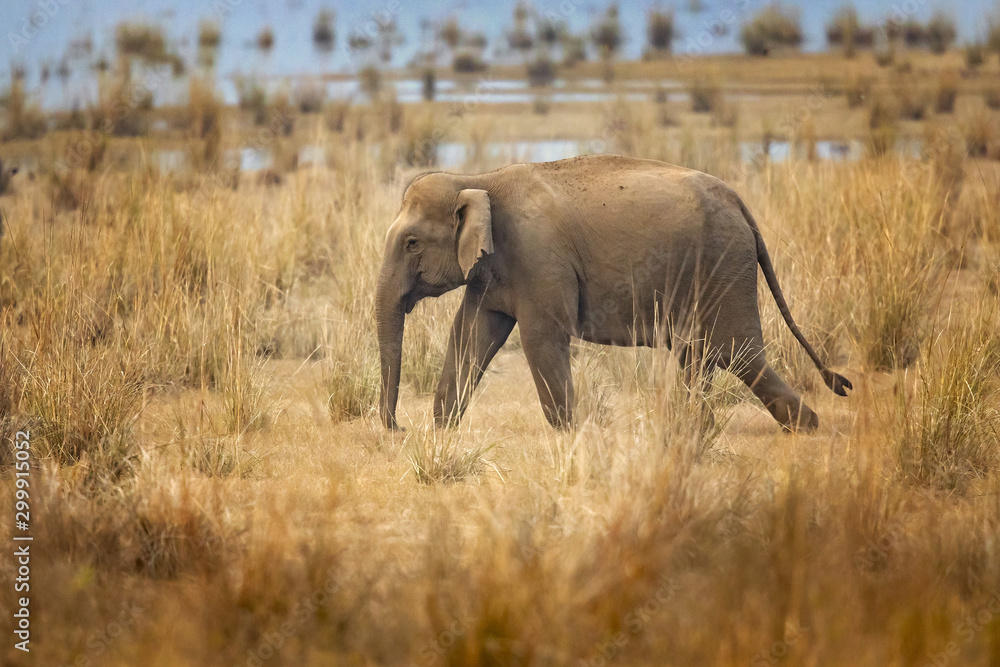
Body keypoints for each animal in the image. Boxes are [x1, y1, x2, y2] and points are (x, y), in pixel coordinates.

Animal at [375, 155, 851, 433]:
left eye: (412, 243)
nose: (398, 428)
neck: (477, 177)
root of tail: (741, 203)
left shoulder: (538, 257)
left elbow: (540, 337)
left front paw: (571, 431)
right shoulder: (492, 268)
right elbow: (472, 332)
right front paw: (442, 429)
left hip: (723, 265)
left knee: (737, 351)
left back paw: (801, 427)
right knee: (702, 352)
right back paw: (698, 427)